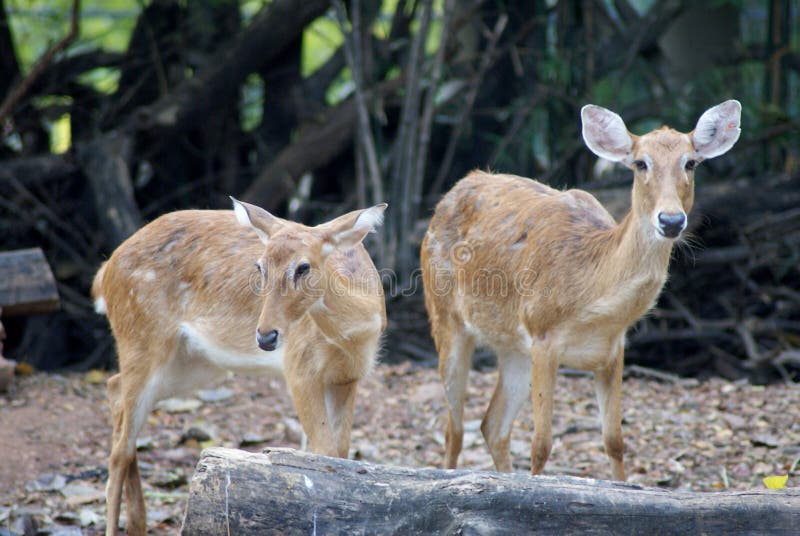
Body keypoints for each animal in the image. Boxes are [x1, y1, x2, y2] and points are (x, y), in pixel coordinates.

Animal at [92, 198, 387, 535]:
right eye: (260, 267)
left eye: (303, 266)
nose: (266, 335)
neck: (354, 336)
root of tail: (105, 272)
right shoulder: (299, 368)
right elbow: (324, 452)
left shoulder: (347, 378)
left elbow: (340, 453)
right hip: (142, 339)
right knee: (118, 449)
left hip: (191, 363)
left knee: (116, 392)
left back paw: (138, 522)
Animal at [421, 100, 741, 480]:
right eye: (640, 163)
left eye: (690, 162)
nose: (671, 220)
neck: (590, 299)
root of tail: (453, 190)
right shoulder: (543, 334)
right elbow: (541, 445)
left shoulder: (614, 348)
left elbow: (614, 441)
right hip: (444, 314)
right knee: (454, 429)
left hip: (512, 345)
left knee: (492, 425)